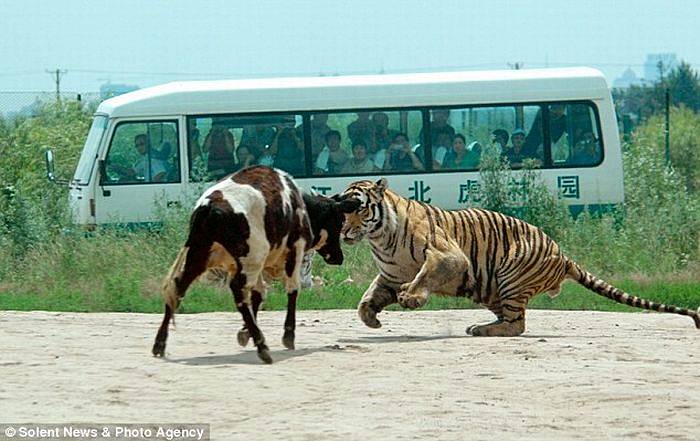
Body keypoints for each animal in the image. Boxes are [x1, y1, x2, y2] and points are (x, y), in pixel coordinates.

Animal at [151, 166, 360, 364]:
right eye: (339, 221)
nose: (339, 257)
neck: (300, 206)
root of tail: (209, 207)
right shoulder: (294, 250)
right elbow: (292, 290)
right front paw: (287, 335)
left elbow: (259, 295)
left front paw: (245, 332)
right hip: (249, 258)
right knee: (238, 292)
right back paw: (262, 346)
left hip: (200, 256)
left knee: (177, 288)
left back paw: (160, 343)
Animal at [340, 178, 700, 336]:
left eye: (357, 207)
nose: (342, 231)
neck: (380, 239)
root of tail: (563, 254)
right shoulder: (391, 274)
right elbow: (368, 298)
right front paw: (371, 318)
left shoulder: (448, 256)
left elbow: (426, 274)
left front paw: (411, 298)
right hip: (492, 288)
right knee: (511, 320)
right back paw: (483, 325)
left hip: (509, 275)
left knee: (517, 325)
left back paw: (480, 329)